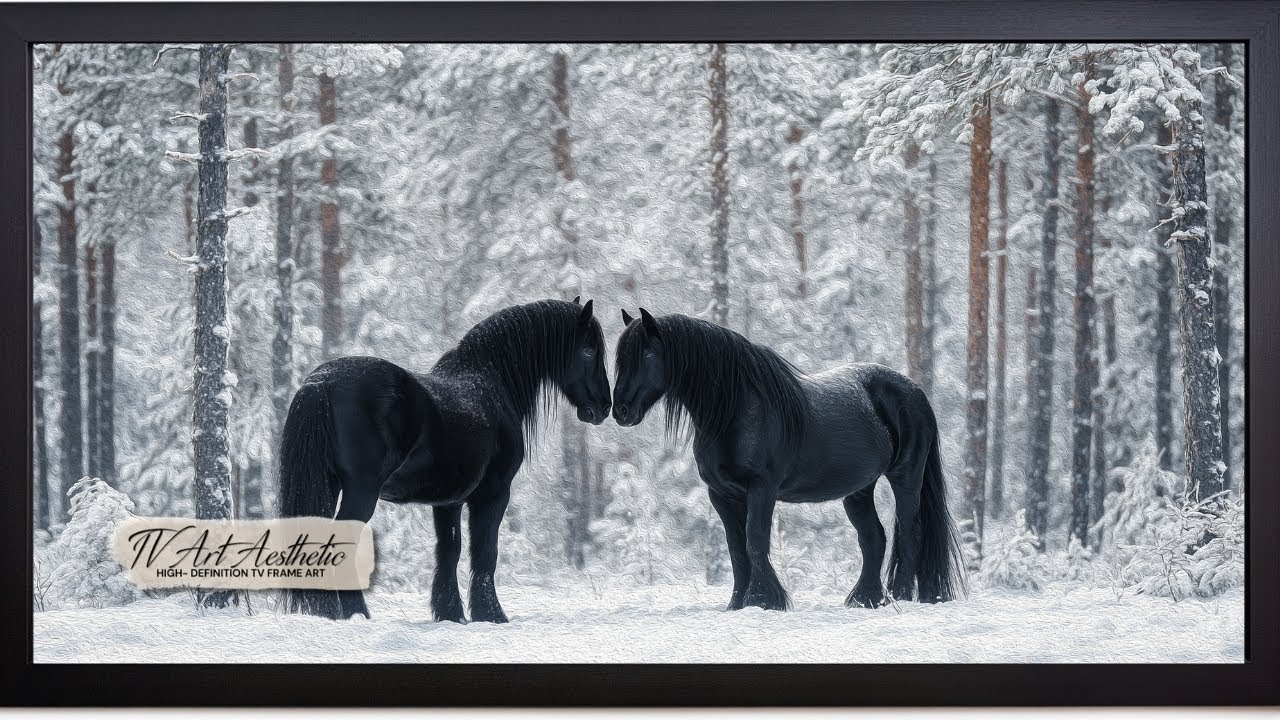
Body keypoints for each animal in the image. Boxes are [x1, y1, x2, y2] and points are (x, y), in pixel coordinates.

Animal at [278, 298, 612, 622]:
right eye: (588, 350)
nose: (603, 407)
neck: (490, 383)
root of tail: (323, 383)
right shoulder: (493, 493)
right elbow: (485, 553)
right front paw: (491, 614)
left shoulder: (447, 500)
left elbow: (449, 551)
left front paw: (450, 614)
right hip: (360, 491)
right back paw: (354, 613)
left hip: (328, 483)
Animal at [610, 308, 965, 611]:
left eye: (647, 353)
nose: (621, 411)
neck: (737, 409)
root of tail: (914, 390)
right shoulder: (722, 494)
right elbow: (736, 549)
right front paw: (737, 604)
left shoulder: (761, 488)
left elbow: (755, 540)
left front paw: (764, 600)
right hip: (859, 490)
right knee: (873, 538)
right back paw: (866, 599)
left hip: (906, 477)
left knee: (909, 533)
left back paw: (900, 597)